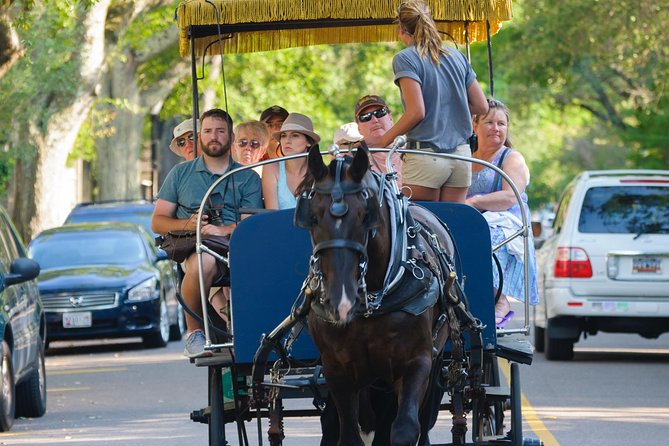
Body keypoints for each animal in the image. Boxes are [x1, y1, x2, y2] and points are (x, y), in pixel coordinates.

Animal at [295, 145, 462, 446]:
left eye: (366, 215)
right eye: (312, 217)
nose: (340, 300)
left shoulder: (416, 362)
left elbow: (405, 428)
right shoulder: (336, 369)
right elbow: (349, 434)